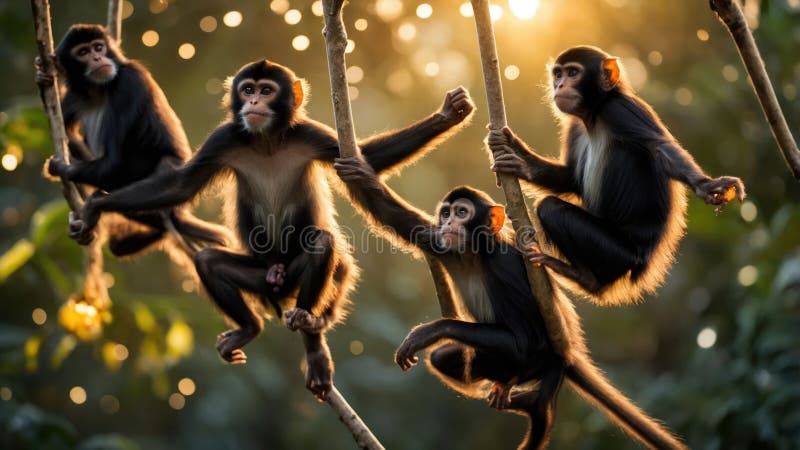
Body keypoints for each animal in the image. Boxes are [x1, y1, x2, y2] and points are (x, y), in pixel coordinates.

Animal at [37, 24, 232, 258]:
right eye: (83, 52)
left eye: (98, 47)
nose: (97, 58)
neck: (98, 90)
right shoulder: (76, 94)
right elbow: (66, 131)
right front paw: (42, 78)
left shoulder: (128, 81)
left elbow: (114, 164)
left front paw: (61, 168)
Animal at [67, 59, 476, 399]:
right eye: (247, 89)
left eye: (266, 91)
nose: (252, 103)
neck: (265, 142)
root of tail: (279, 281)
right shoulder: (224, 138)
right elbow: (178, 187)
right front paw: (97, 206)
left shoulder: (307, 134)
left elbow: (364, 160)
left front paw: (446, 117)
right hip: (261, 278)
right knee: (210, 261)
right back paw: (249, 328)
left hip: (293, 278)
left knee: (321, 245)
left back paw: (310, 334)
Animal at [334, 155, 687, 450]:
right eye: (445, 213)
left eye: (461, 213)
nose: (448, 224)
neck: (474, 255)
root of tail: (569, 353)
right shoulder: (442, 244)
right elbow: (393, 215)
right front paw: (357, 172)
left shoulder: (505, 265)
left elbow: (525, 340)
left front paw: (431, 331)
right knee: (446, 358)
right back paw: (510, 388)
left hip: (541, 359)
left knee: (532, 353)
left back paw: (539, 403)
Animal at [488, 45, 746, 305]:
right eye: (558, 74)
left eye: (573, 73)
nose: (559, 85)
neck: (594, 115)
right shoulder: (575, 127)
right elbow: (569, 179)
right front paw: (515, 153)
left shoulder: (620, 109)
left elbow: (659, 149)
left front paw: (706, 185)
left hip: (619, 255)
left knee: (550, 208)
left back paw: (585, 278)